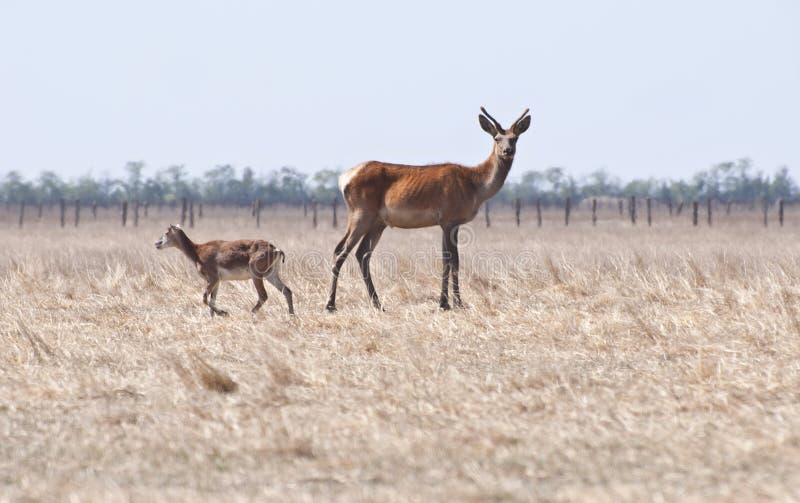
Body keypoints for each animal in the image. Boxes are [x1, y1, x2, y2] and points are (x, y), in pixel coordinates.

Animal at [155, 224, 294, 316]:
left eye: (167, 232)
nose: (157, 243)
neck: (198, 251)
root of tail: (275, 249)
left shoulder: (212, 279)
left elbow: (204, 298)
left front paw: (224, 312)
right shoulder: (217, 282)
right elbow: (212, 301)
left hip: (257, 277)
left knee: (263, 295)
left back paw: (251, 313)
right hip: (271, 275)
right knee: (287, 291)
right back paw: (291, 315)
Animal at [326, 106, 531, 312]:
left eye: (515, 138)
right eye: (496, 138)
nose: (507, 151)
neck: (474, 185)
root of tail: (344, 178)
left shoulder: (451, 224)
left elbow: (450, 260)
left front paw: (447, 302)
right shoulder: (448, 220)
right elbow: (451, 260)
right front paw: (453, 303)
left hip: (378, 223)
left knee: (361, 254)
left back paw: (378, 304)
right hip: (360, 215)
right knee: (341, 251)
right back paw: (331, 304)